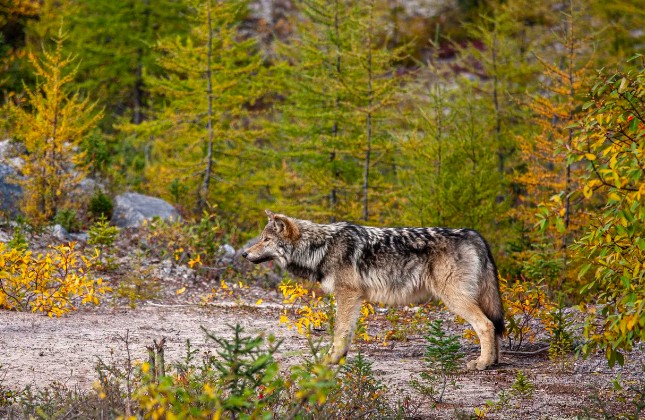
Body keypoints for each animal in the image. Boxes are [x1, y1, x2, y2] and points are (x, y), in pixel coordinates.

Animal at [242, 210, 504, 370]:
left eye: (266, 240)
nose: (244, 254)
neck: (321, 247)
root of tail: (474, 234)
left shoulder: (347, 294)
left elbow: (339, 332)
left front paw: (330, 360)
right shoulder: (354, 298)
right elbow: (346, 333)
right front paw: (339, 358)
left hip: (453, 298)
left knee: (485, 324)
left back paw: (481, 363)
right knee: (494, 325)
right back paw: (493, 361)